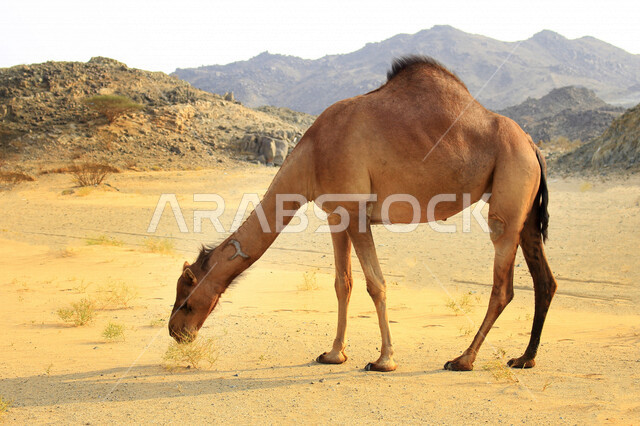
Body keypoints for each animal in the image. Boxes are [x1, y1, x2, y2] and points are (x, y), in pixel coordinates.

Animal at [169, 55, 558, 372]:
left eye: (186, 301)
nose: (175, 331)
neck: (311, 155)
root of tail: (533, 145)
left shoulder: (356, 212)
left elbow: (376, 284)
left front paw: (384, 360)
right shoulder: (336, 215)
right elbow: (343, 283)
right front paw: (333, 353)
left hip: (508, 196)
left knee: (503, 286)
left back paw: (463, 359)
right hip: (525, 211)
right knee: (545, 280)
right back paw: (525, 358)